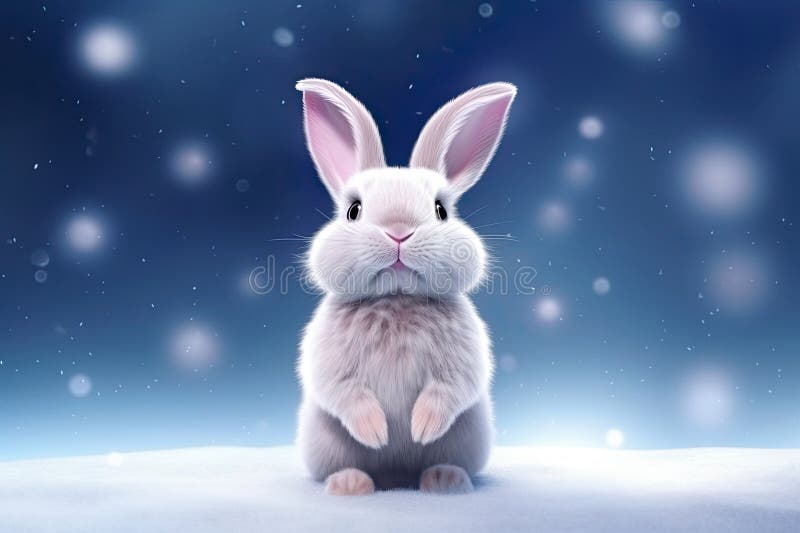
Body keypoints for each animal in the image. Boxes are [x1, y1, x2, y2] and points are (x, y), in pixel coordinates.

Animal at [295, 78, 516, 495]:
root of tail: (396, 477)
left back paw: (445, 480)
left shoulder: (464, 359)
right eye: (353, 211)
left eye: (441, 210)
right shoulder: (329, 362)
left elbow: (452, 388)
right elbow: (343, 391)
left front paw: (420, 427)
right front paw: (377, 432)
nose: (399, 232)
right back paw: (351, 484)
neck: (397, 299)